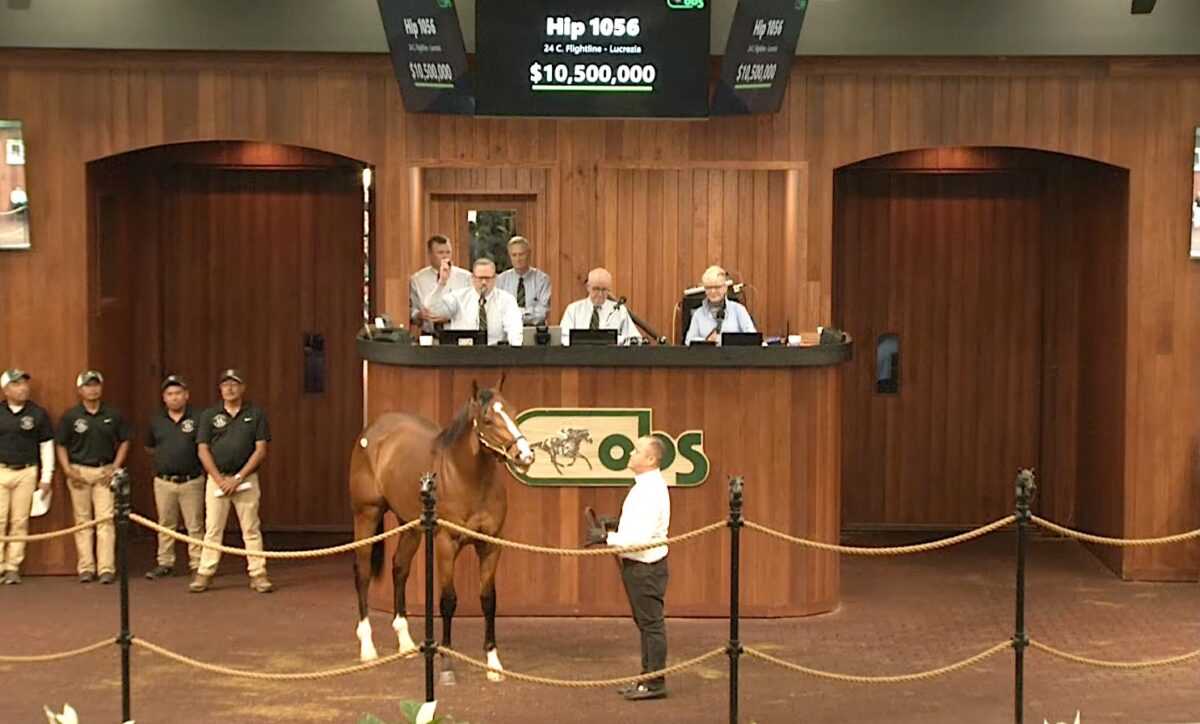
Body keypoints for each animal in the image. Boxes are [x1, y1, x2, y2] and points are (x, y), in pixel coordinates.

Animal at [348, 376, 534, 684]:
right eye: (487, 420)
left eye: (513, 412)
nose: (525, 455)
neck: (466, 478)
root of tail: (373, 431)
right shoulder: (447, 543)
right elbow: (448, 601)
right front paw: (447, 664)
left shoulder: (491, 545)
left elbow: (488, 600)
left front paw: (494, 664)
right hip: (366, 515)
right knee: (362, 573)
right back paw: (367, 647)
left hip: (410, 525)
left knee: (399, 568)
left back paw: (406, 643)